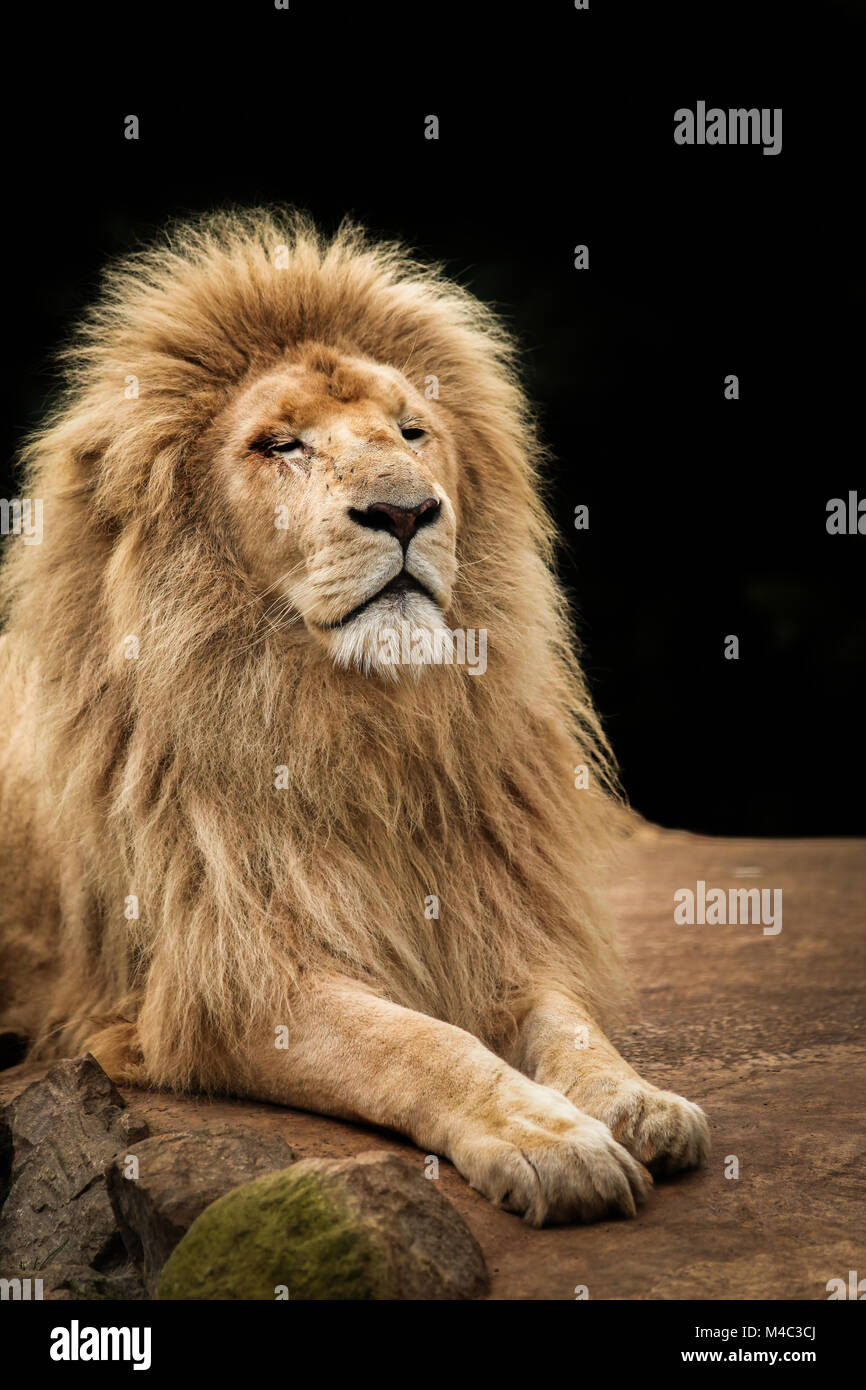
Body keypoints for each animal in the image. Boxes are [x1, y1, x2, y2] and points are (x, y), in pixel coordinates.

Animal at [0, 211, 708, 1225]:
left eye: (413, 431)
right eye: (280, 446)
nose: (407, 510)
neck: (362, 728)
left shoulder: (496, 921)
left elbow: (571, 1026)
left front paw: (636, 1101)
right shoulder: (230, 984)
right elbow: (423, 1045)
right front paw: (553, 1141)